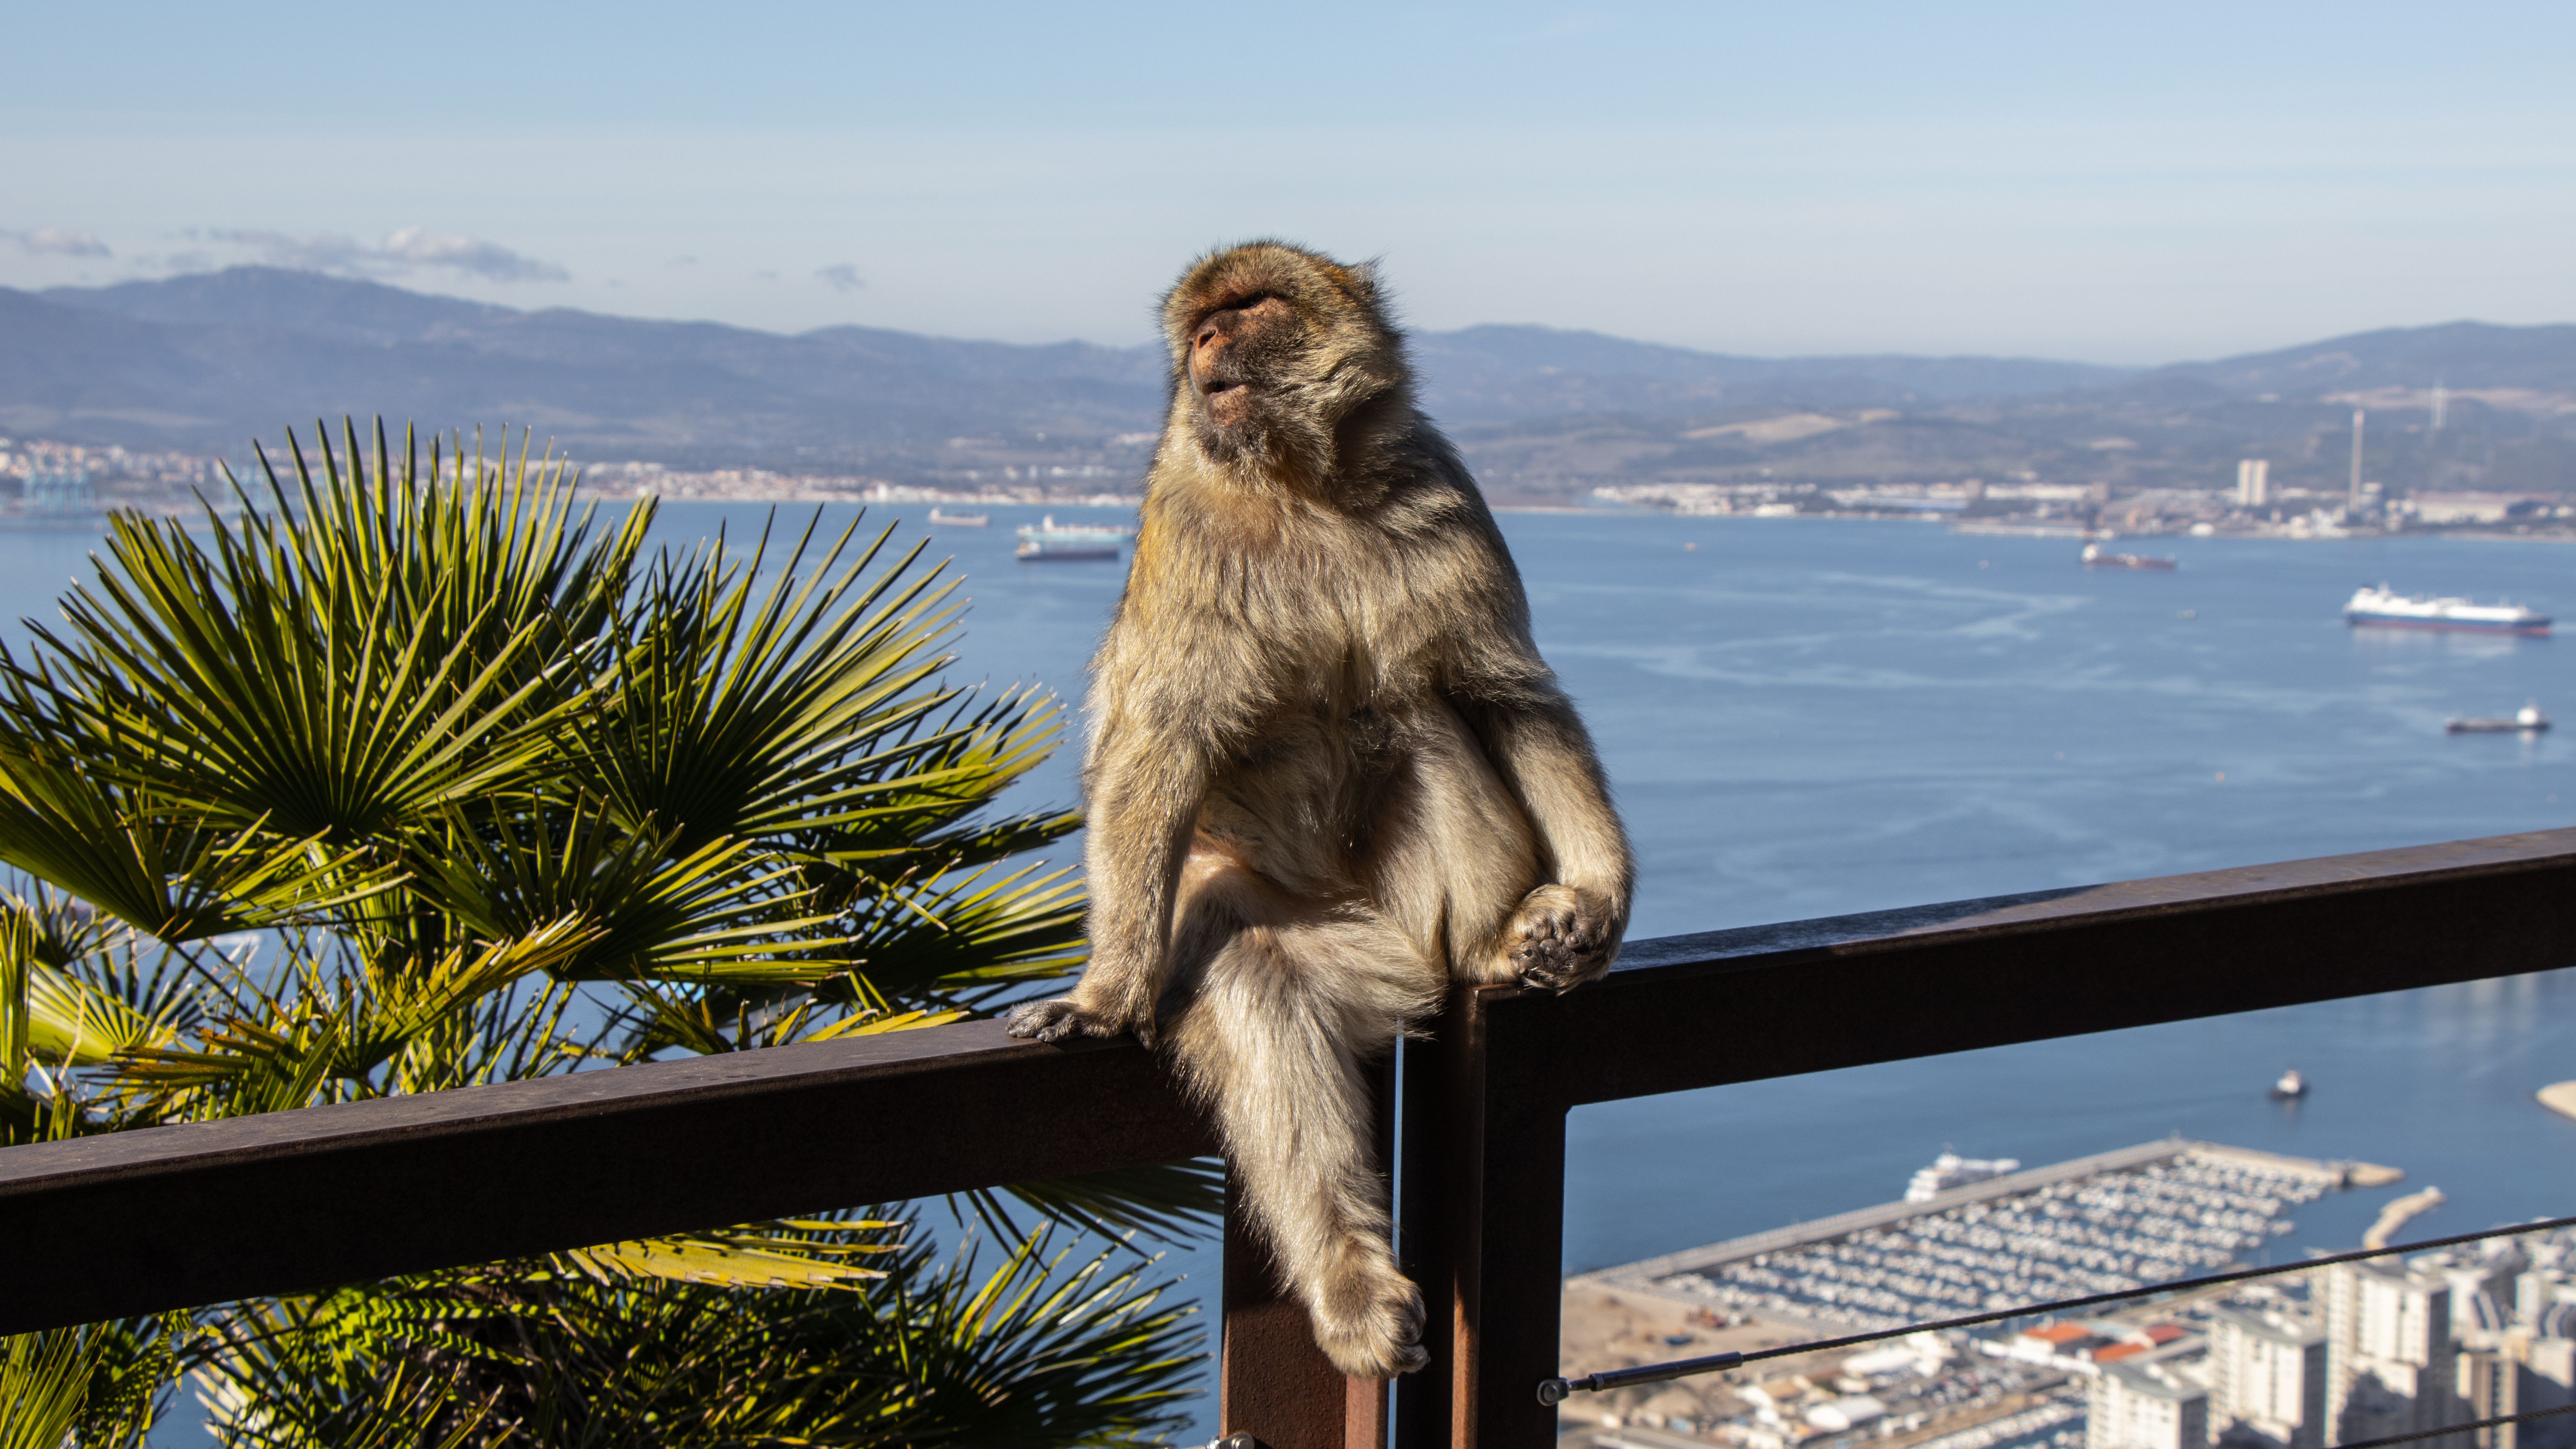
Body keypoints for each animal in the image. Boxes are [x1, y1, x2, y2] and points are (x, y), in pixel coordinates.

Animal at [1005, 241, 1633, 1380]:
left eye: (1248, 306)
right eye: (1199, 322)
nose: (1209, 341)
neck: (1306, 485)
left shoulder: (1446, 497)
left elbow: (1507, 695)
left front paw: (1600, 902)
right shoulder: (1185, 524)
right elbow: (1156, 750)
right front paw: (1104, 994)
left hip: (1404, 927)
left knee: (1423, 715)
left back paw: (1492, 946)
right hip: (1284, 925)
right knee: (1250, 963)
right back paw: (1353, 1285)